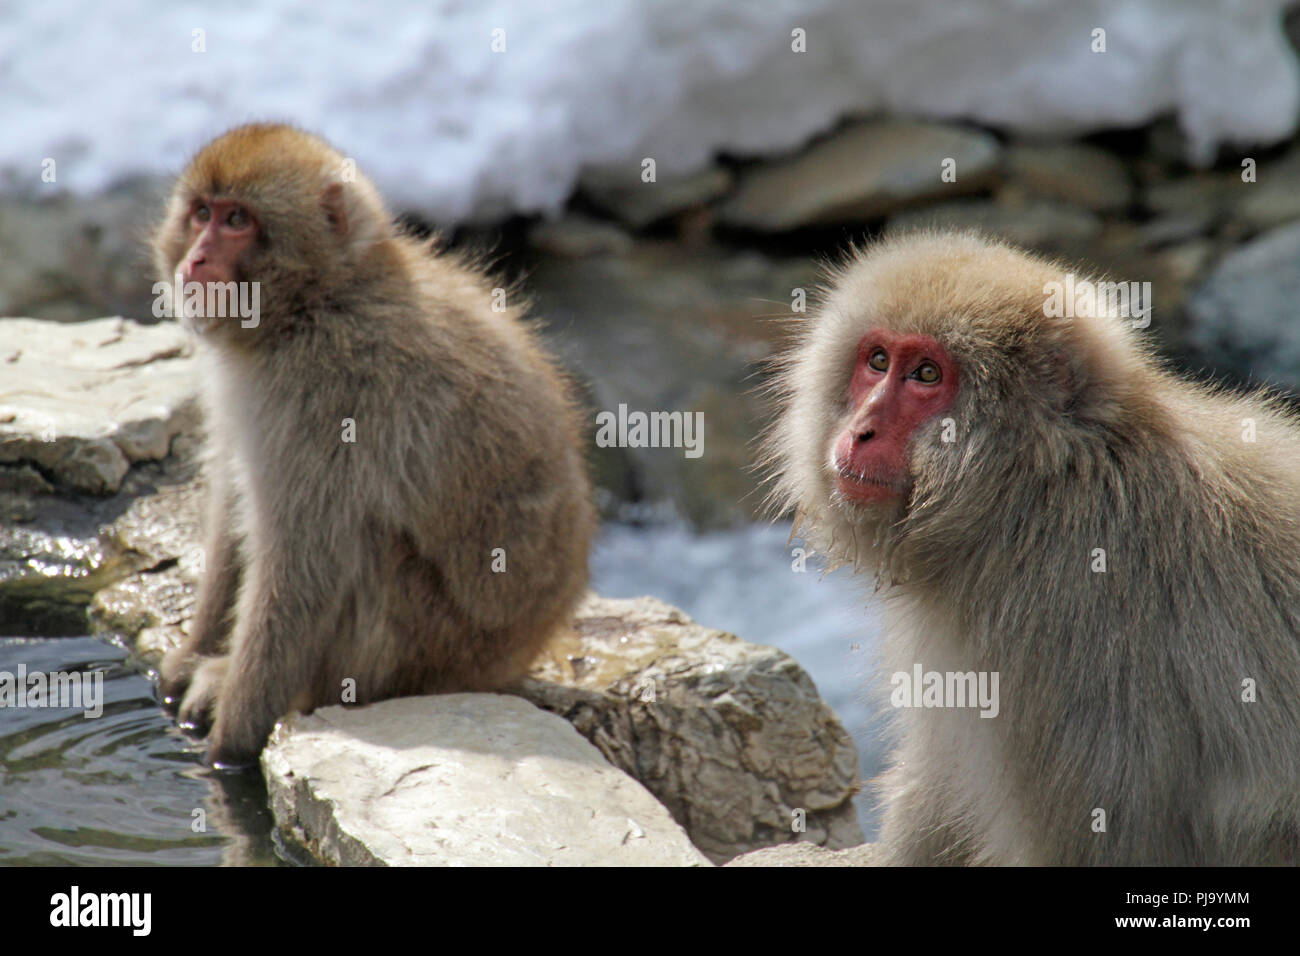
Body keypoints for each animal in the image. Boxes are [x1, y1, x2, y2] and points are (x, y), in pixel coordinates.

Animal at [151, 123, 595, 768]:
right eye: (202, 213)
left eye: (238, 220)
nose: (197, 258)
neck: (317, 298)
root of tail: (518, 654)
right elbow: (233, 501)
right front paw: (187, 656)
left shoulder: (326, 391)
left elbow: (302, 561)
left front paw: (228, 751)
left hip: (425, 648)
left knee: (368, 547)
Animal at [762, 229, 1300, 865]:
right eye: (877, 362)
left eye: (926, 374)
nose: (860, 432)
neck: (1042, 484)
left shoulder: (1059, 622)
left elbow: (1104, 835)